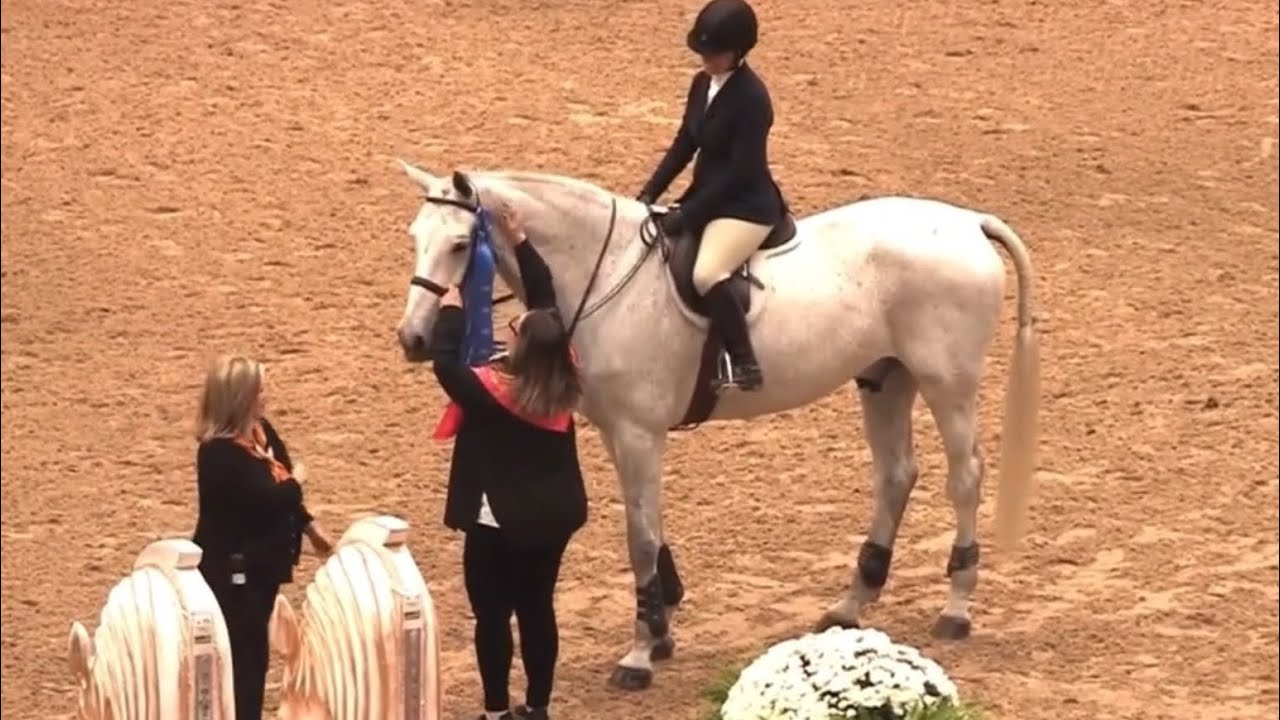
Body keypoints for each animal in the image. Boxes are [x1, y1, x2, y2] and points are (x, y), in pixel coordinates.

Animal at [392, 161, 1041, 692]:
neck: (605, 274)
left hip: (945, 382)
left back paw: (955, 609)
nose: (414, 339)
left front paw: (639, 655)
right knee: (896, 474)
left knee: (965, 477)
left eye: (459, 245)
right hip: (885, 378)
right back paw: (850, 605)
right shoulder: (619, 431)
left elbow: (640, 536)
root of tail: (968, 223)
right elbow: (646, 522)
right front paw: (662, 627)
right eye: (415, 239)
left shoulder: (639, 433)